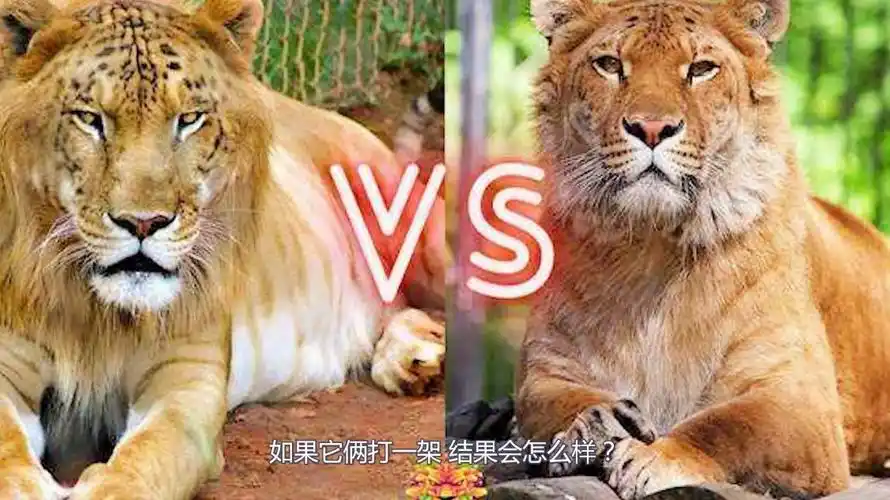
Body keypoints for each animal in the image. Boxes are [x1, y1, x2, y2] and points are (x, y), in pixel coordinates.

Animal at [0, 0, 446, 497]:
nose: (144, 222)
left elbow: (143, 463)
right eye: (90, 119)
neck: (99, 313)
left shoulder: (185, 388)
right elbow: (9, 459)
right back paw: (409, 358)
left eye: (189, 119)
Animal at [516, 0, 890, 499]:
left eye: (701, 69)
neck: (651, 249)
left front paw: (654, 458)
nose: (651, 128)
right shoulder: (546, 371)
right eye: (610, 65)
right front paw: (595, 426)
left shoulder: (799, 401)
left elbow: (728, 427)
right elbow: (555, 404)